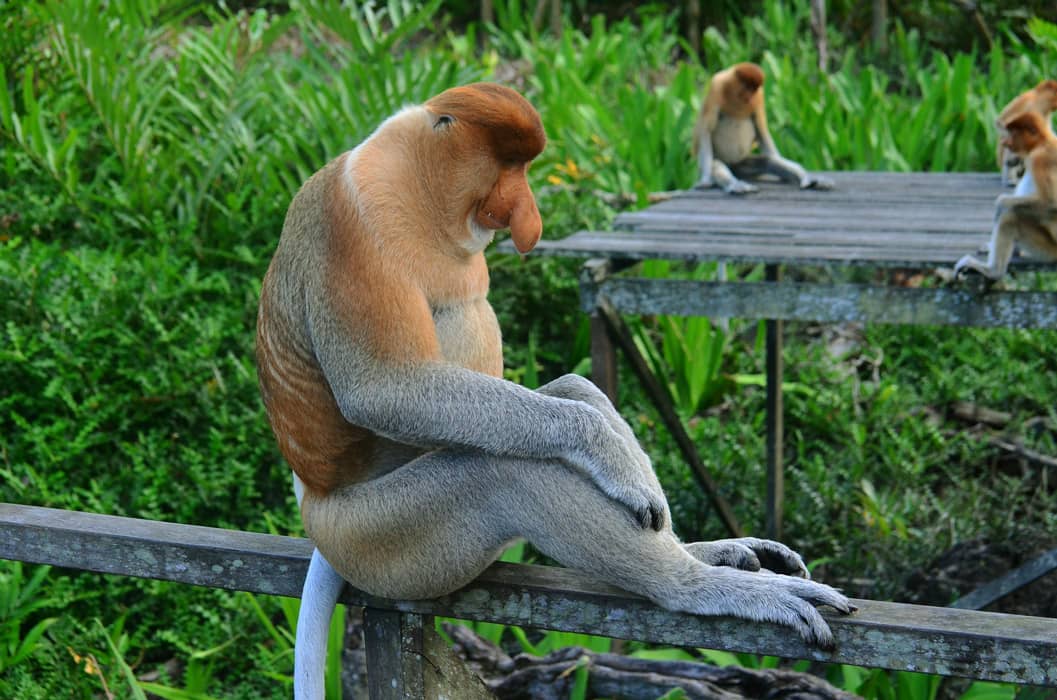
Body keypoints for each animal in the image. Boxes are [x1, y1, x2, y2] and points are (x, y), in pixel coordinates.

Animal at [256, 82, 854, 699]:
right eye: (507, 167)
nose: (527, 215)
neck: (413, 183)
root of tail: (316, 506)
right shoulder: (350, 223)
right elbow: (384, 390)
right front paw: (613, 458)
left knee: (570, 389)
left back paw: (706, 551)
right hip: (381, 540)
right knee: (502, 472)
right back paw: (696, 583)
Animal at [692, 62, 834, 195]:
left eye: (754, 89)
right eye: (747, 87)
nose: (749, 97)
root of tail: (734, 165)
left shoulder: (759, 97)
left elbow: (761, 131)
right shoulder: (715, 88)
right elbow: (705, 132)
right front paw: (705, 181)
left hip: (743, 163)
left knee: (769, 161)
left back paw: (807, 179)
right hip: (723, 161)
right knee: (717, 165)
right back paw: (736, 185)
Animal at [955, 111, 1057, 280]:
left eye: (1013, 133)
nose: (1004, 141)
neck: (1040, 144)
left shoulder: (1041, 159)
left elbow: (1051, 203)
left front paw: (1000, 202)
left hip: (1048, 249)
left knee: (1010, 218)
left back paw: (993, 271)